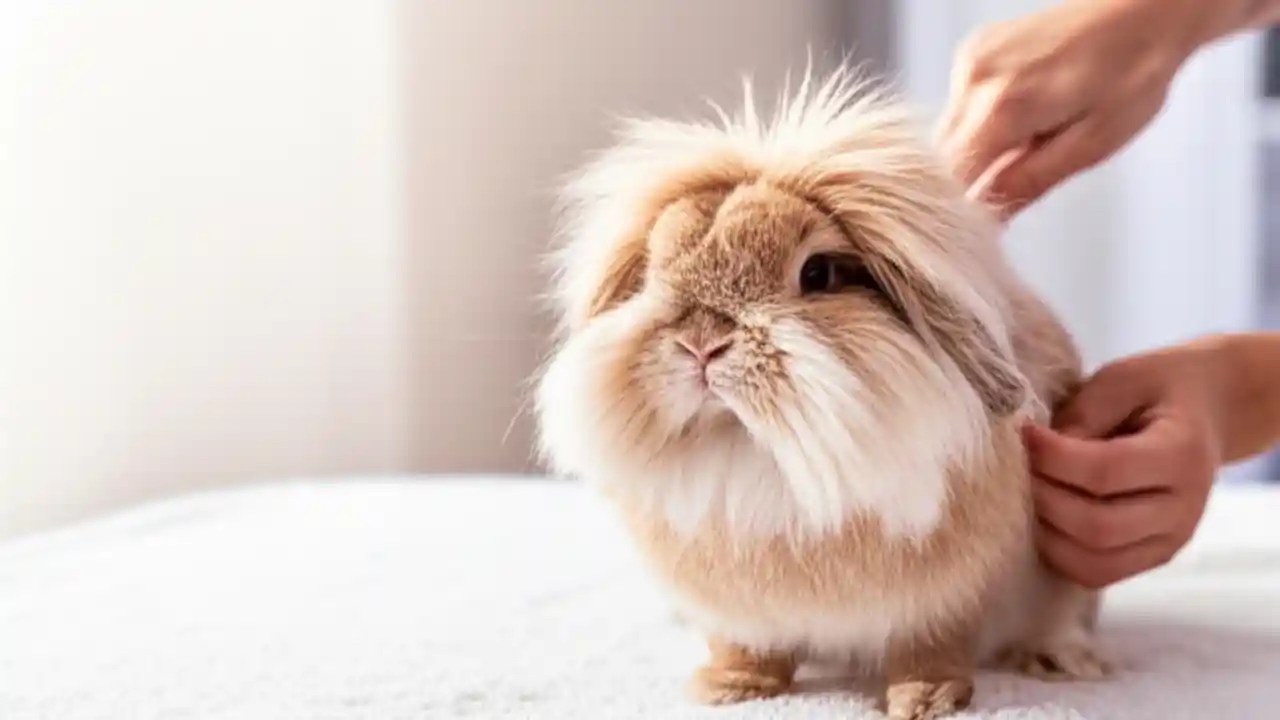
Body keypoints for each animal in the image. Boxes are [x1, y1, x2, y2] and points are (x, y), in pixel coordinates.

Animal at [535, 68, 1108, 720]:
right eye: (653, 273)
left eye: (819, 274)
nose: (701, 345)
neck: (763, 460)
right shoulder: (739, 612)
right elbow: (746, 645)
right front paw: (727, 688)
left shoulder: (947, 599)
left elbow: (931, 647)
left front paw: (926, 701)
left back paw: (1056, 660)